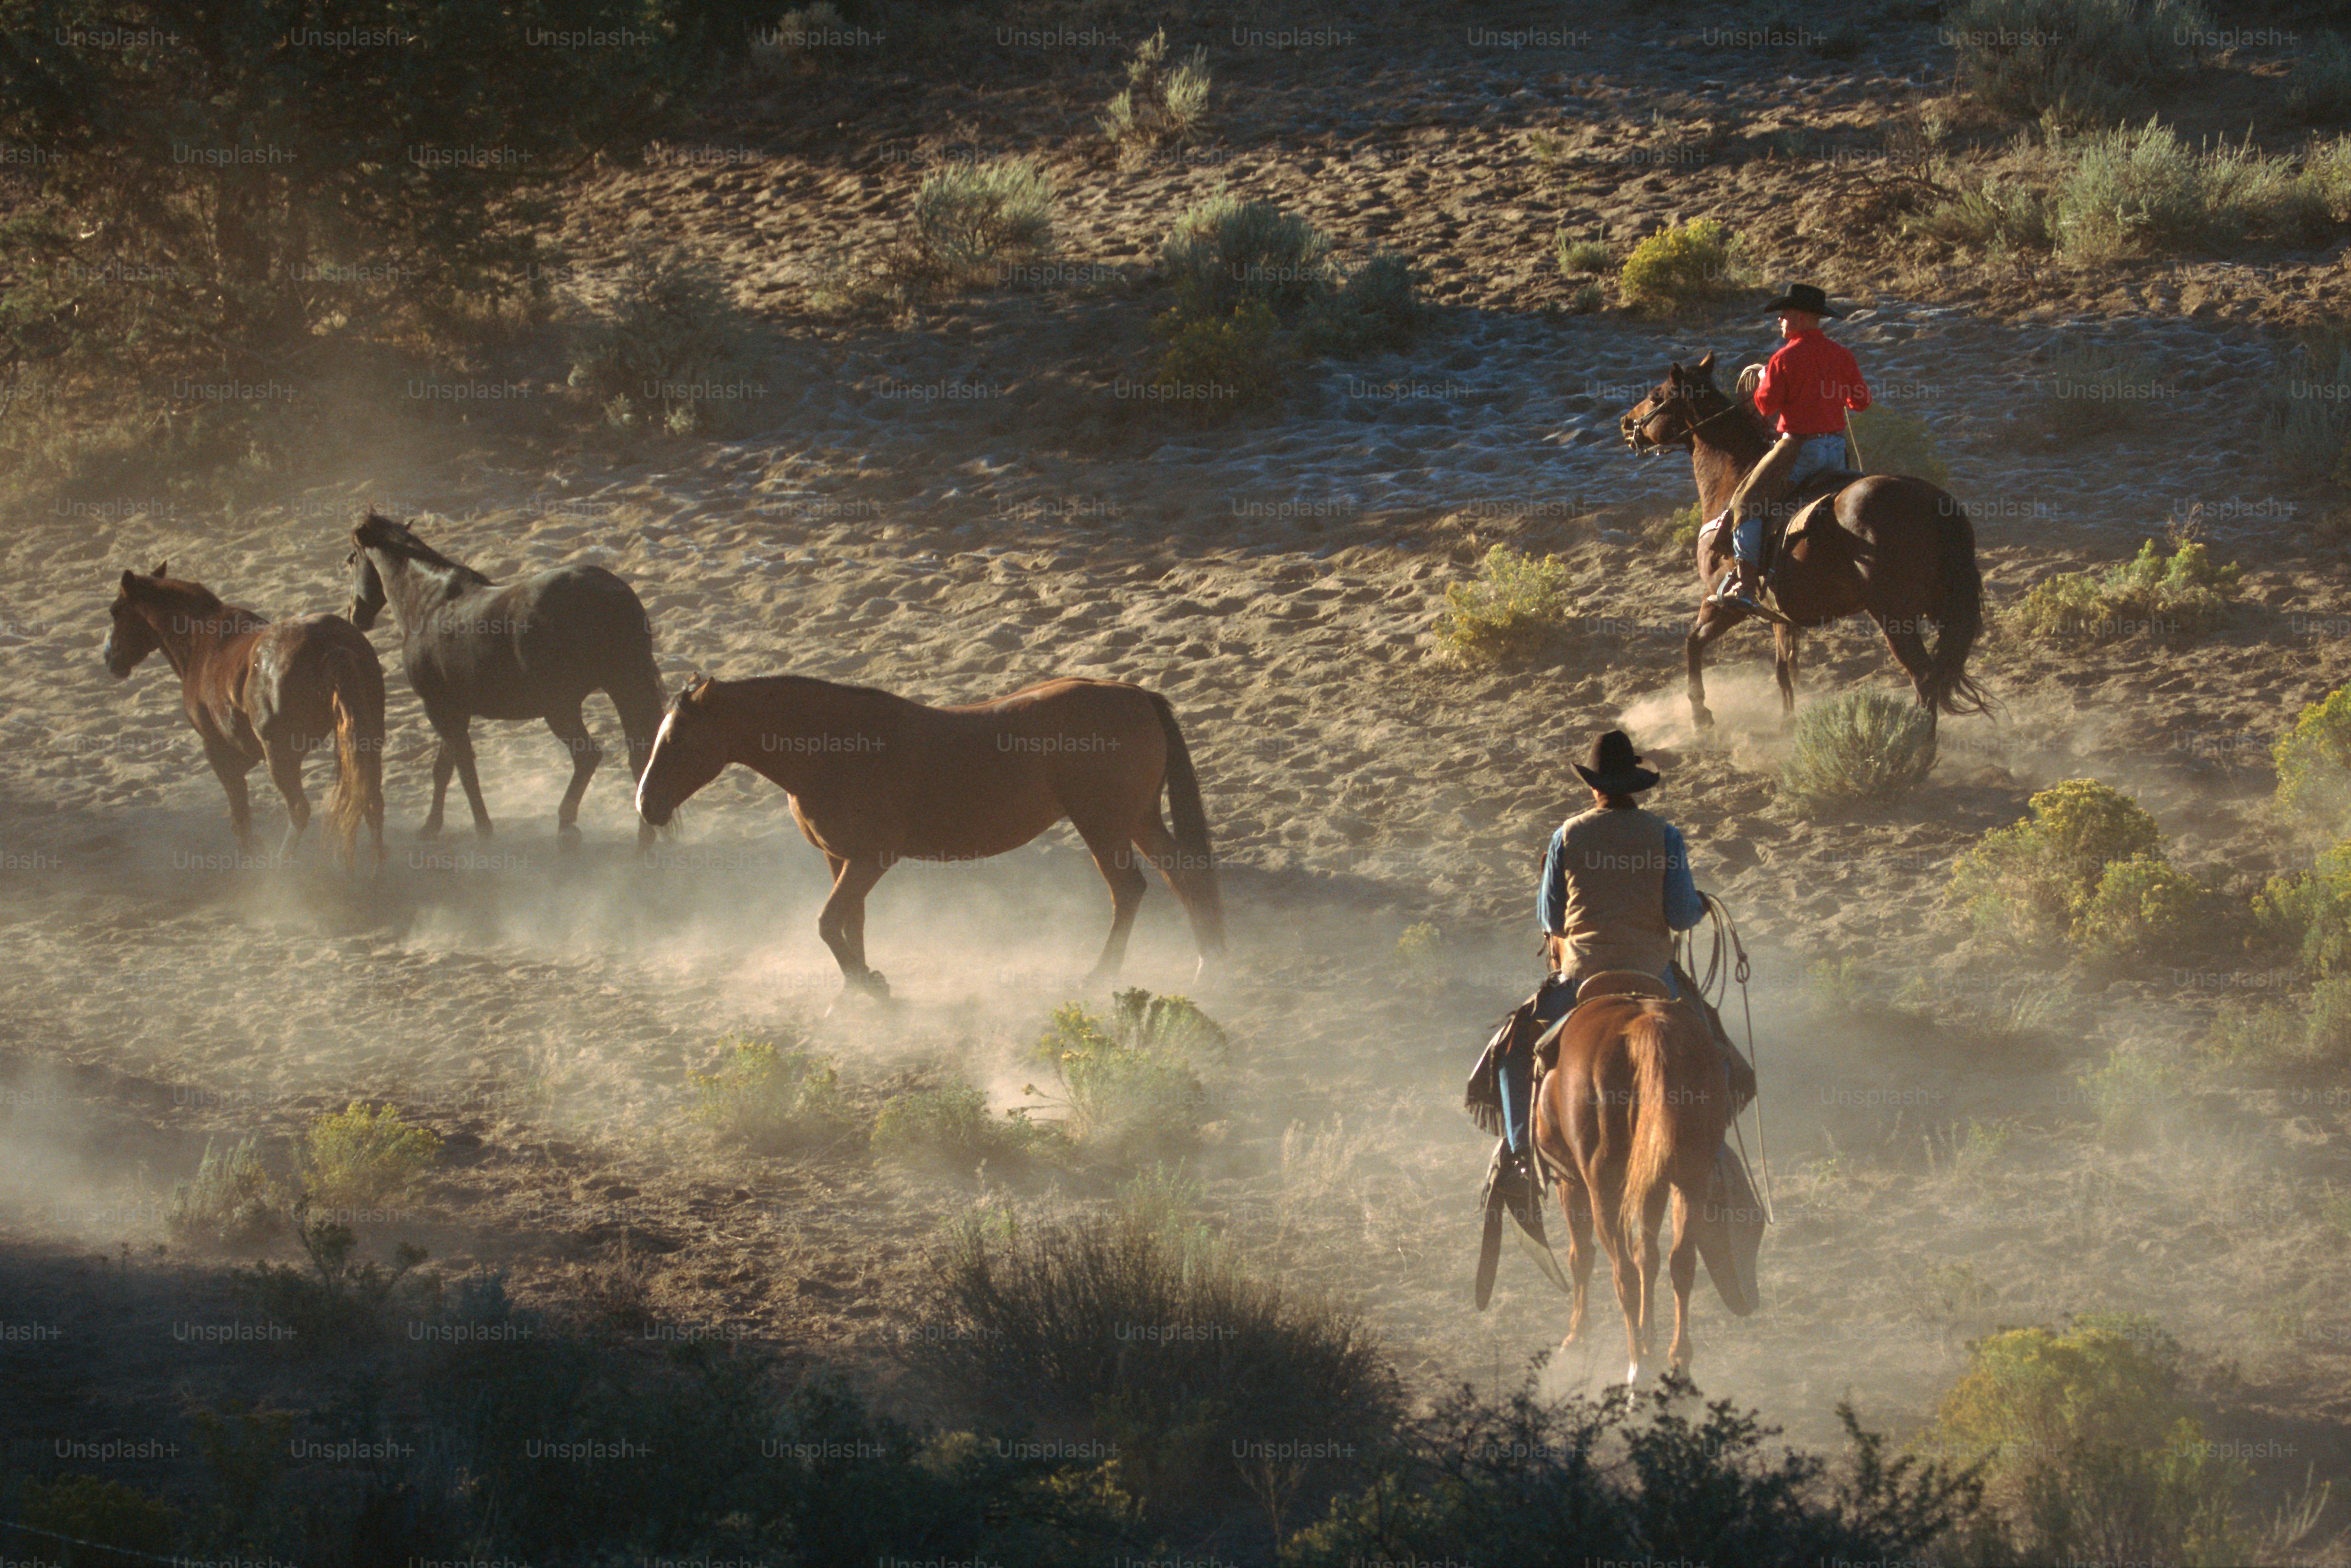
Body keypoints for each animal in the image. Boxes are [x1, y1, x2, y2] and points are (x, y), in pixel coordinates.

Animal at [104, 564, 386, 871]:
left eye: (116, 611)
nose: (110, 659)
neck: (201, 641)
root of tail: (333, 646)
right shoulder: (246, 749)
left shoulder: (216, 747)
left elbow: (239, 808)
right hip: (367, 740)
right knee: (371, 799)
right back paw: (377, 869)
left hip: (281, 757)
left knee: (299, 809)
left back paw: (282, 865)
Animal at [346, 513, 666, 849]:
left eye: (351, 559)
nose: (355, 615)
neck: (427, 605)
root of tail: (614, 593)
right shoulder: (455, 713)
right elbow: (444, 769)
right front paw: (431, 827)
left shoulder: (438, 710)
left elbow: (465, 771)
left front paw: (483, 828)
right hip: (623, 689)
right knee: (639, 758)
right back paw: (642, 839)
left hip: (562, 708)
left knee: (588, 756)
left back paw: (567, 825)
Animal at [633, 673, 1227, 1003]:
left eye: (678, 738)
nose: (646, 805)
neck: (833, 748)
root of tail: (1134, 694)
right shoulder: (839, 859)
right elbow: (849, 923)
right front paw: (854, 990)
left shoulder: (870, 859)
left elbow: (826, 923)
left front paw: (870, 985)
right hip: (1138, 821)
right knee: (1185, 875)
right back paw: (1207, 966)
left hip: (1103, 825)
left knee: (1129, 891)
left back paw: (1100, 975)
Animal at [1533, 977, 1733, 1384]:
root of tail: (1647, 1023)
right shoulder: (1652, 1186)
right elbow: (1649, 1258)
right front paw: (1650, 1338)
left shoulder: (1570, 1181)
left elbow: (1581, 1255)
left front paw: (1577, 1337)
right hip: (1690, 1179)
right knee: (1679, 1263)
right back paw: (1676, 1360)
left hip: (1603, 1187)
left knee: (1621, 1272)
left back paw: (1636, 1370)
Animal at [1618, 352, 1990, 733]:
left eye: (1656, 395)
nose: (1626, 422)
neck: (1731, 479)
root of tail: (1933, 502)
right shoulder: (1779, 615)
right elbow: (1784, 671)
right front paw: (1787, 722)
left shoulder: (1725, 601)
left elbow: (1693, 642)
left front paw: (1700, 717)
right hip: (1942, 605)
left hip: (1895, 614)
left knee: (1925, 678)